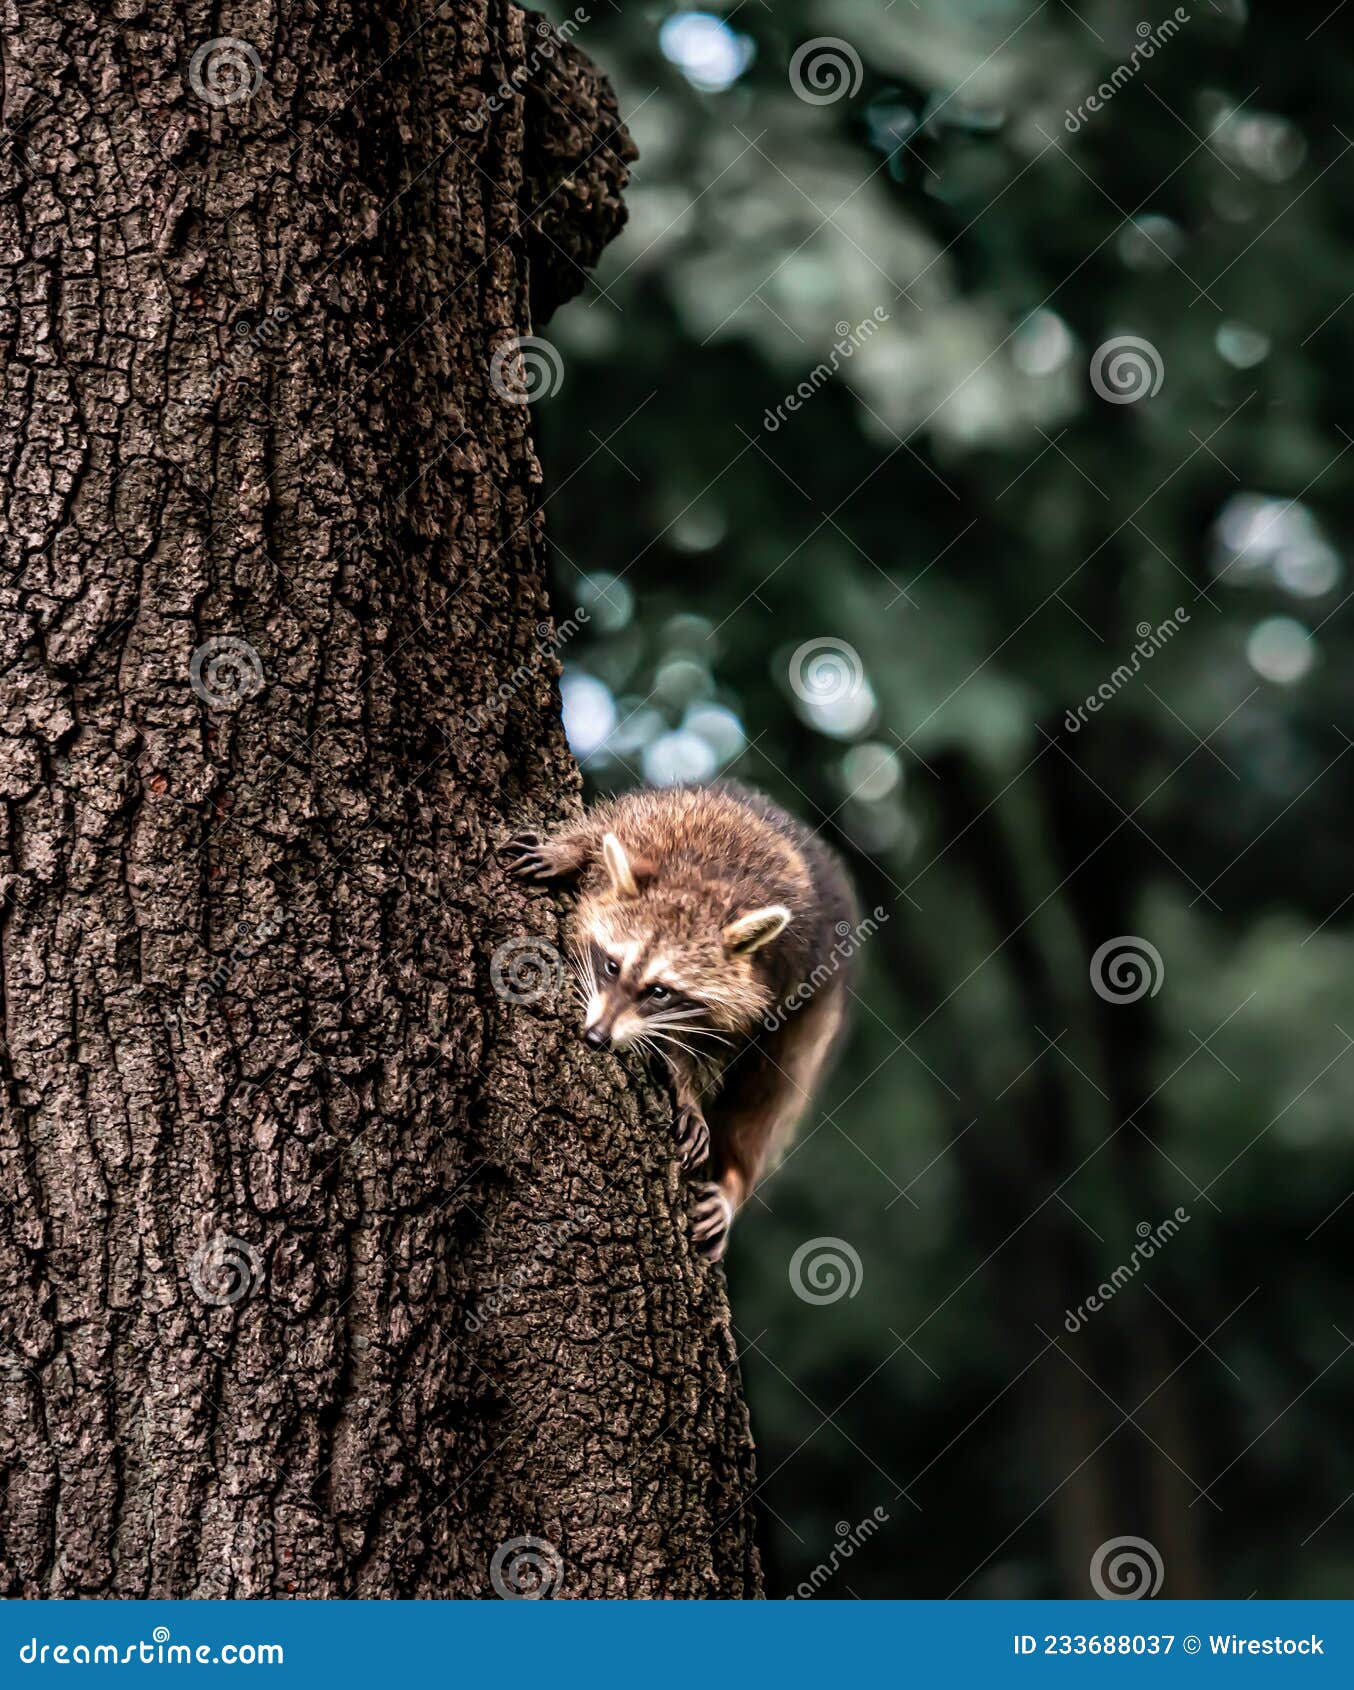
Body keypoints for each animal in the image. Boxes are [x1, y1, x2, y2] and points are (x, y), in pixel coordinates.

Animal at [506, 782, 857, 1261]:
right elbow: (597, 831)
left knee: (771, 1095)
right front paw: (565, 849)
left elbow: (721, 1039)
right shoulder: (646, 822)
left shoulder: (777, 971)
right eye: (612, 966)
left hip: (814, 1017)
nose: (596, 1037)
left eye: (660, 991)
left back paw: (734, 1179)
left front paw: (686, 1085)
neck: (702, 882)